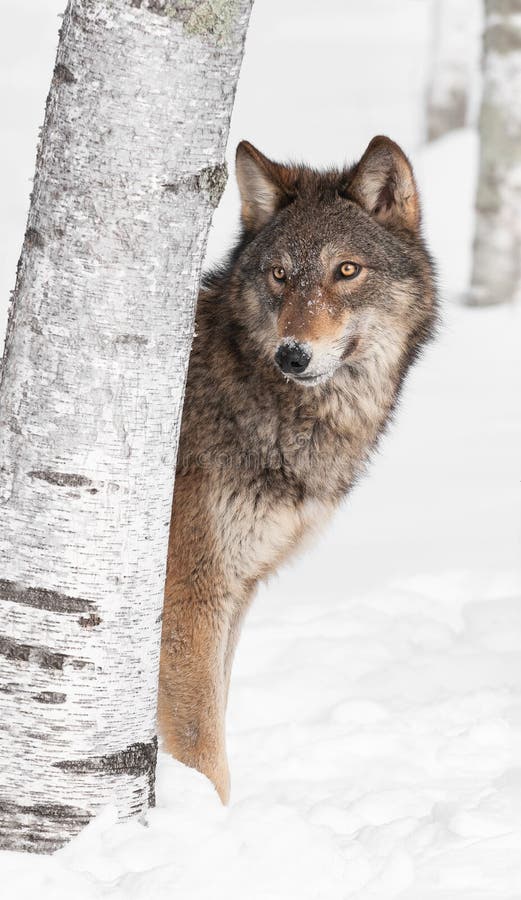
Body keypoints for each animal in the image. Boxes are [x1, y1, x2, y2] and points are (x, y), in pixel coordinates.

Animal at [158, 136, 437, 802]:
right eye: (280, 275)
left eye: (347, 270)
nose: (292, 354)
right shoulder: (191, 596)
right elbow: (203, 751)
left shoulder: (238, 589)